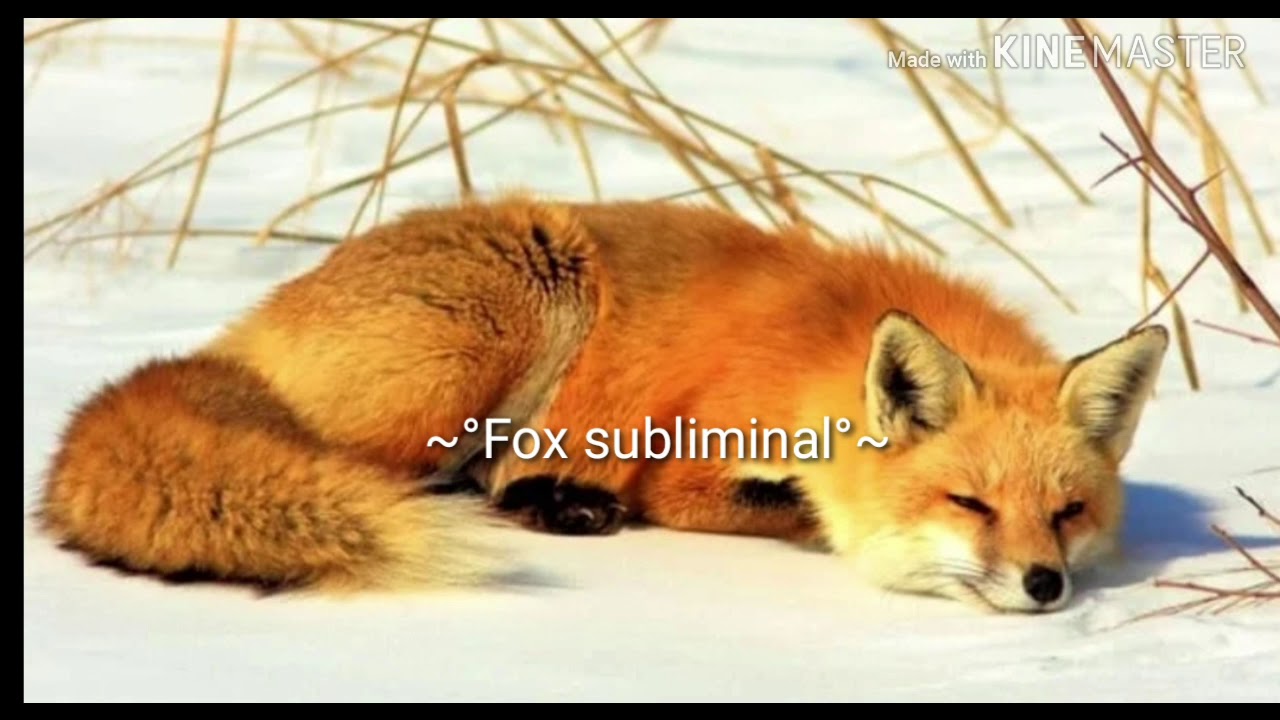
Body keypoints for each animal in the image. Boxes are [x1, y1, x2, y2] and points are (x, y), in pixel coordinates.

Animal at [38, 194, 1169, 613]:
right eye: (968, 505)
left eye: (1067, 512)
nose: (1044, 586)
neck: (824, 361)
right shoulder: (689, 459)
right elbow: (785, 513)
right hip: (524, 303)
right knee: (393, 475)